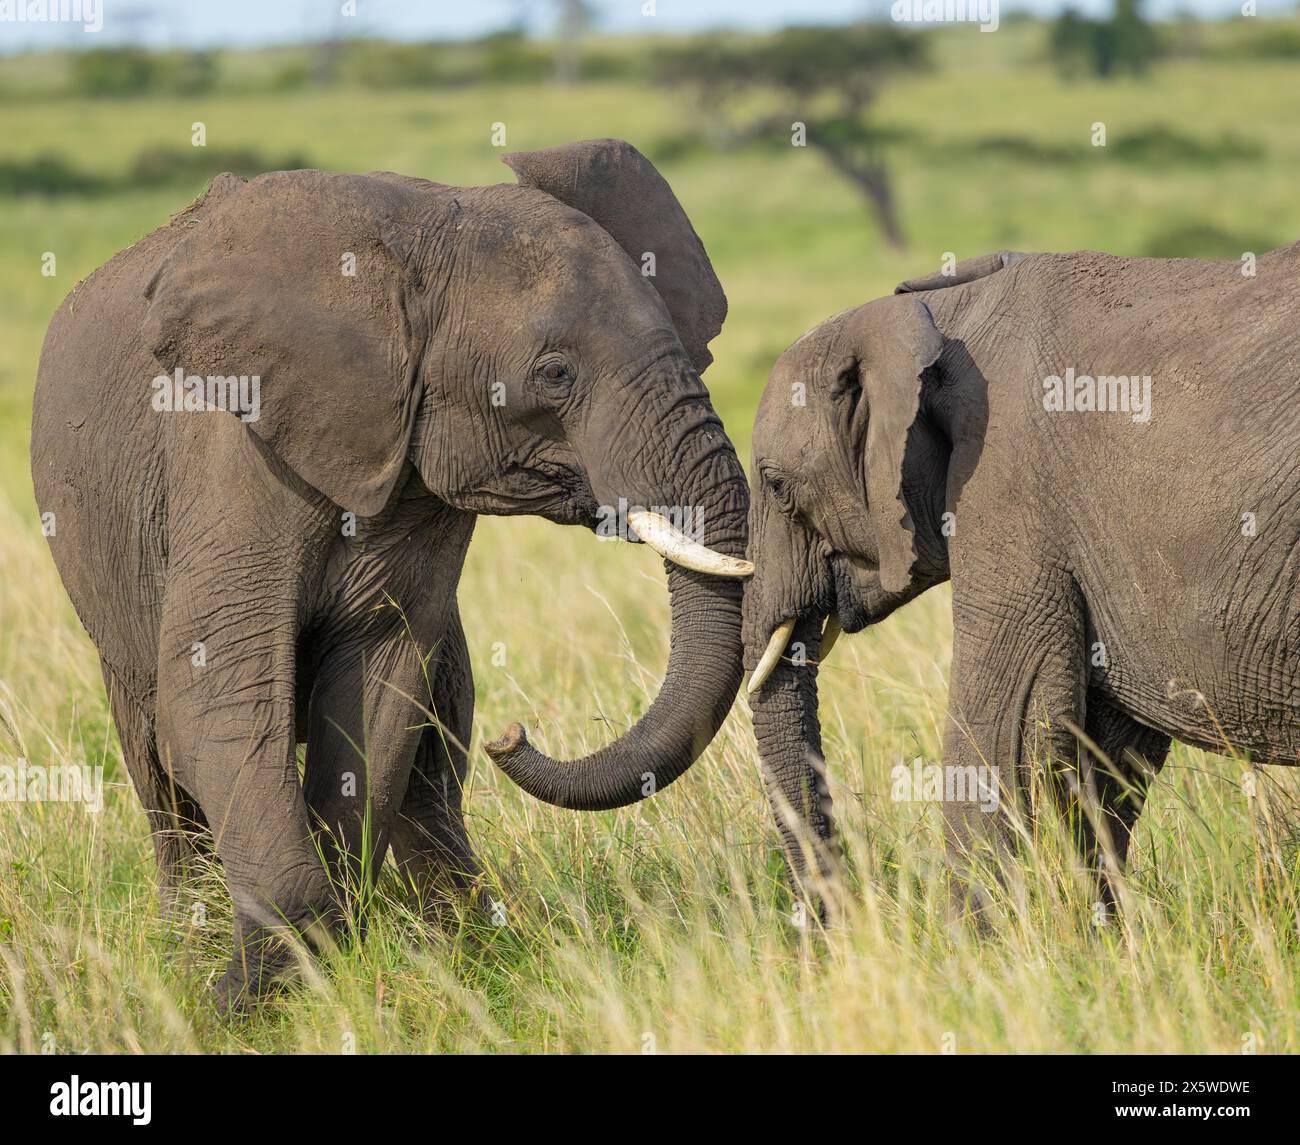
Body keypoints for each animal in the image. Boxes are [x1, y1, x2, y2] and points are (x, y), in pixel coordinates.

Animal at [31, 139, 752, 1008]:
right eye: (554, 374)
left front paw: (340, 943)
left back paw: (472, 928)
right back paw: (189, 941)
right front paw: (247, 991)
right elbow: (218, 685)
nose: (519, 733)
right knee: (153, 758)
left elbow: (378, 682)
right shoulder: (230, 443)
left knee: (438, 723)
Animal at [742, 244, 1300, 916]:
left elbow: (1001, 734)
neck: (937, 314)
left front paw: (974, 944)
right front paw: (1101, 933)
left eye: (777, 486)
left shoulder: (1003, 484)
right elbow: (1104, 764)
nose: (836, 926)